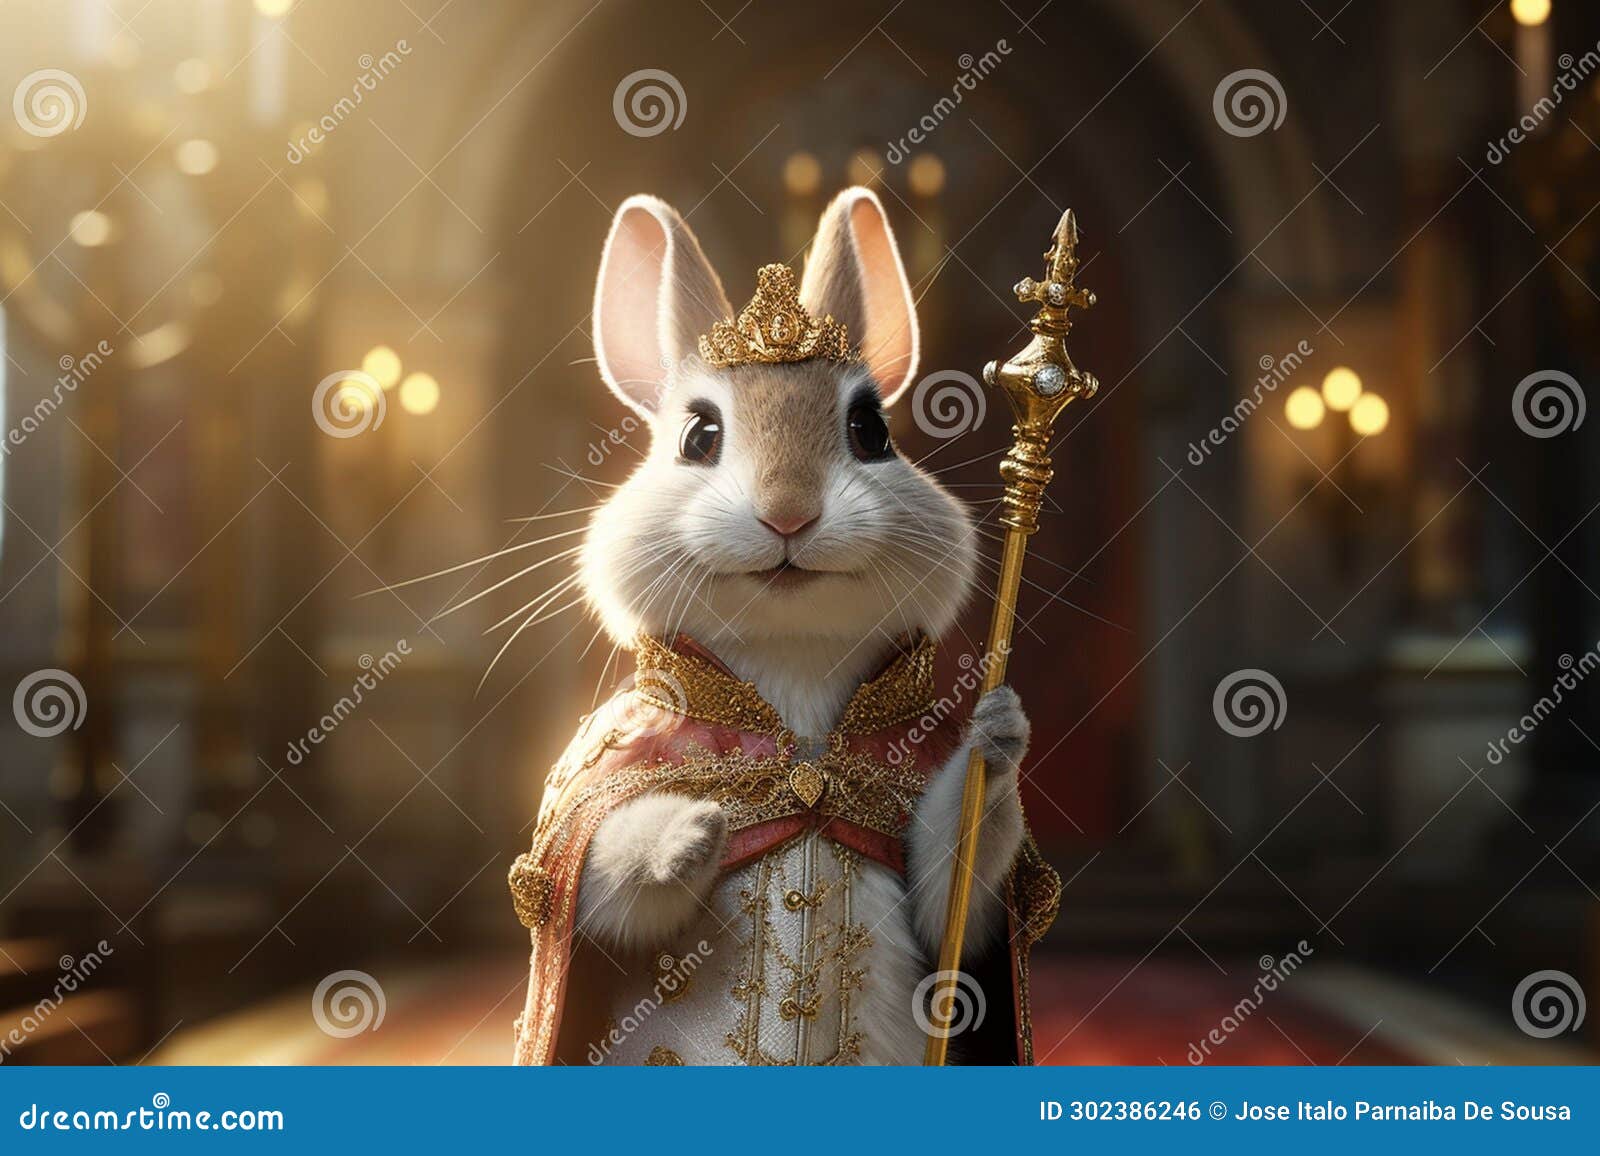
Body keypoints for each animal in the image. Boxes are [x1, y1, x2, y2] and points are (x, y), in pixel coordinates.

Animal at [541, 187, 1029, 1065]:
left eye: (871, 431)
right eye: (698, 435)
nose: (789, 513)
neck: (800, 742)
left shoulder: (941, 877)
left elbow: (959, 890)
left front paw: (998, 732)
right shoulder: (583, 814)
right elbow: (596, 877)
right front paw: (693, 830)